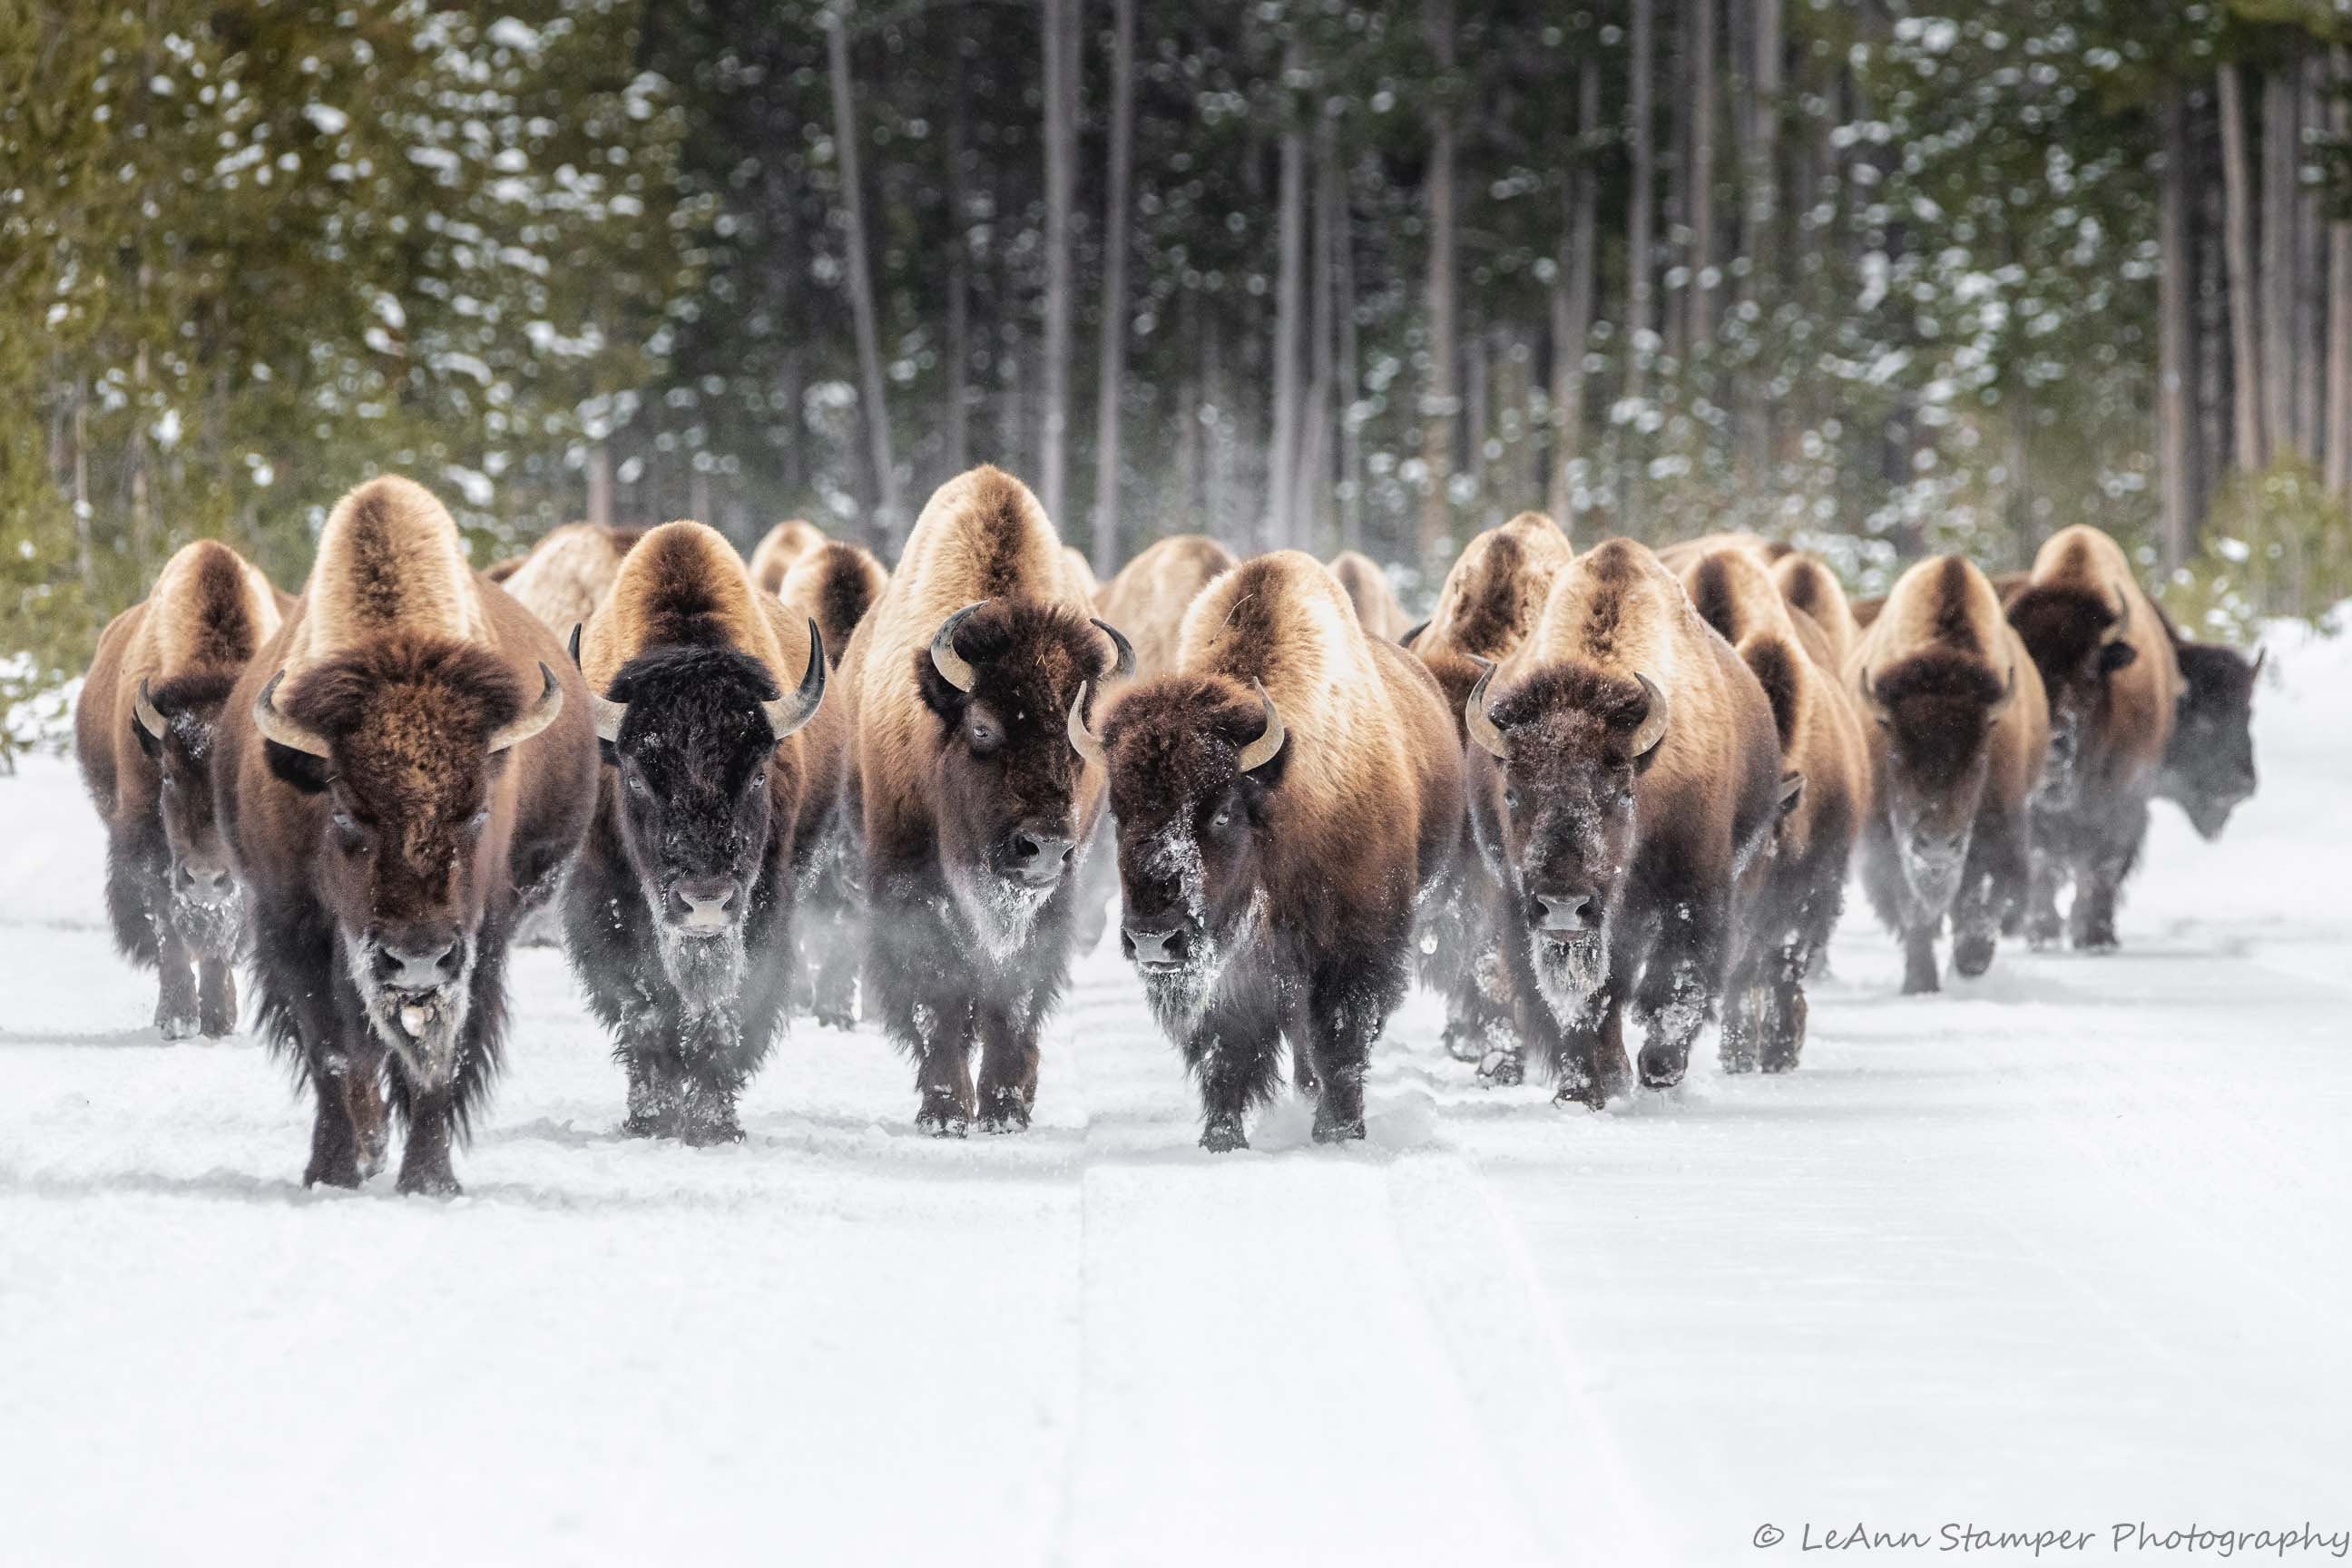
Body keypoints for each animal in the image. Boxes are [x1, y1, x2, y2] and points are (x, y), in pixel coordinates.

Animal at [216, 476, 597, 1194]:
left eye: (476, 812)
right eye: (344, 811)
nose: (415, 956)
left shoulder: (480, 935)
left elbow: (442, 1057)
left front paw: (429, 1180)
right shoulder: (292, 919)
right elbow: (332, 1049)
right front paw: (334, 1170)